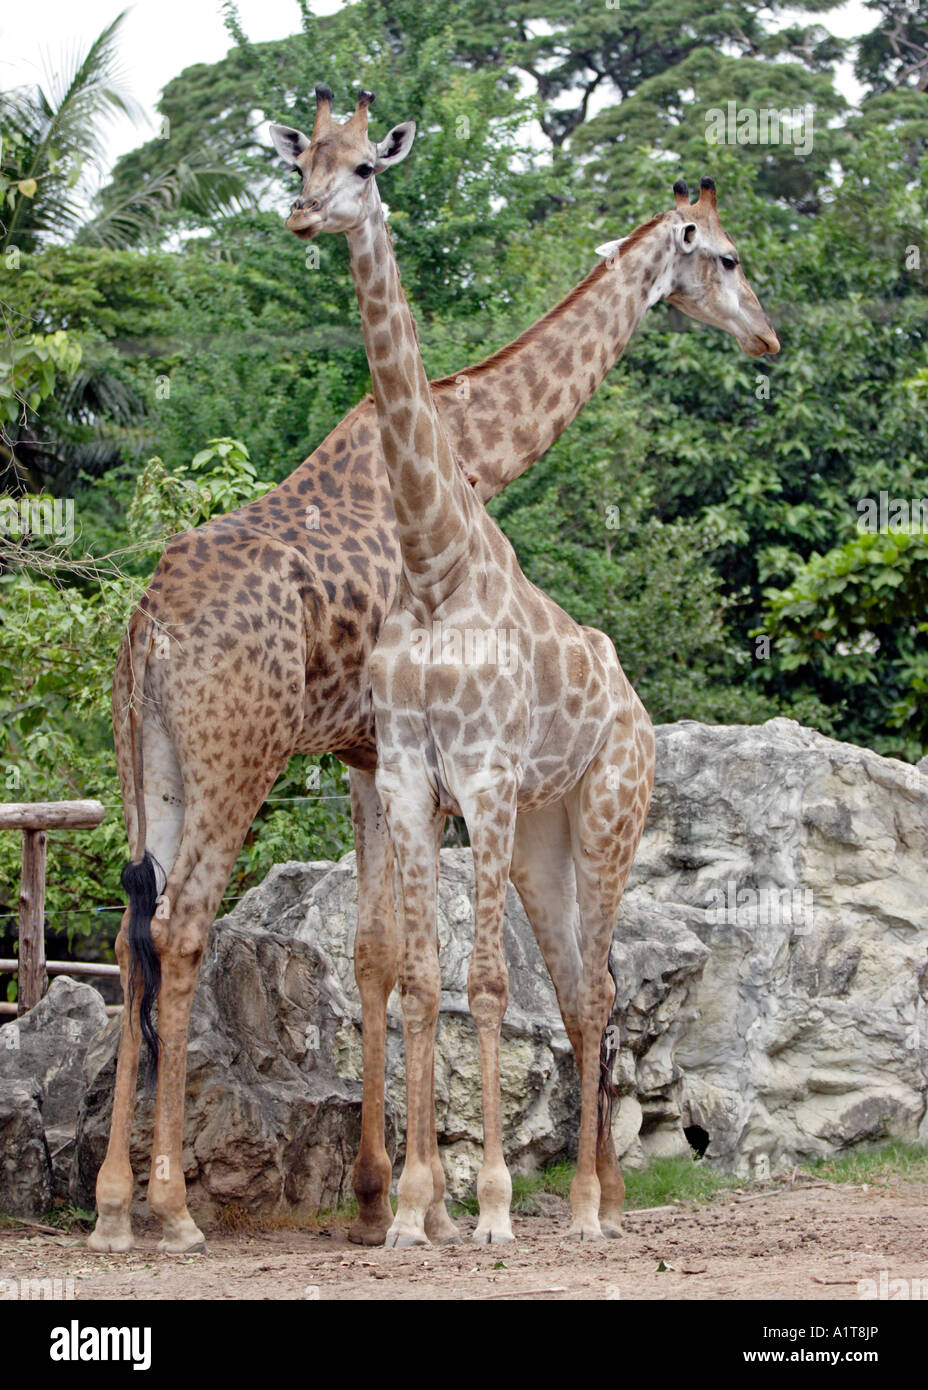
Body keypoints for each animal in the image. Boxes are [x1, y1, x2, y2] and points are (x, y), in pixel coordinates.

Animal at [87, 86, 779, 1256]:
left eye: (359, 164)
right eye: (727, 258)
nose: (769, 337)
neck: (475, 450)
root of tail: (144, 627)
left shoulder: (371, 758)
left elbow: (383, 956)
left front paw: (395, 1196)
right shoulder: (385, 754)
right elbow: (401, 956)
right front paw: (412, 1196)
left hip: (150, 767)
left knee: (134, 936)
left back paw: (112, 1205)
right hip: (236, 756)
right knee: (181, 931)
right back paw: (172, 1208)